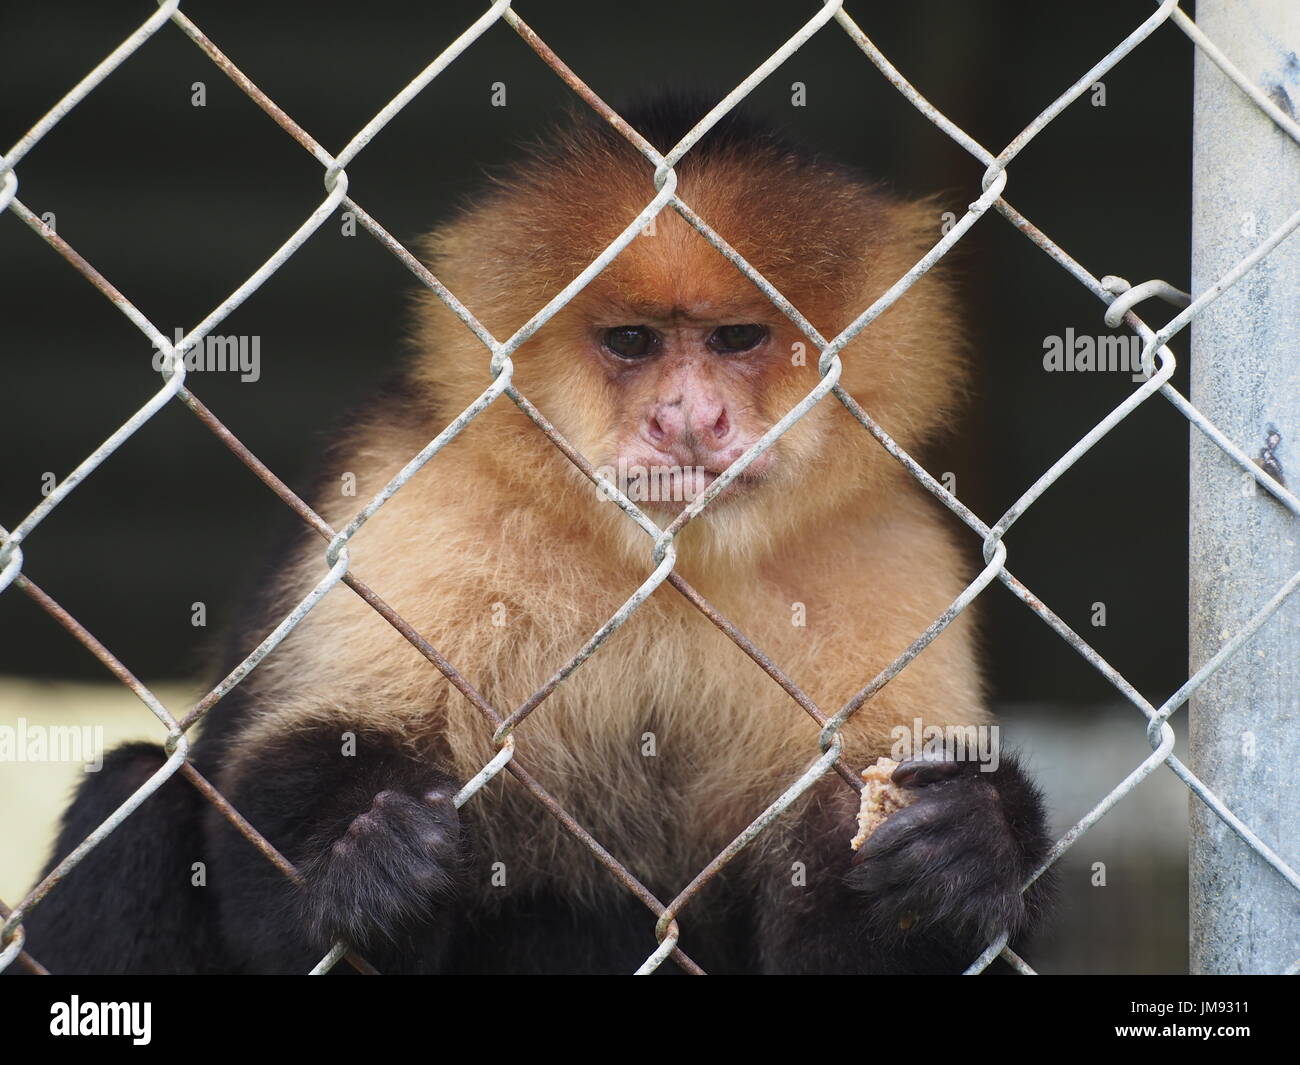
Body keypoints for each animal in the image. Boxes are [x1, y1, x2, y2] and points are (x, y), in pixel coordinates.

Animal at [16, 95, 1054, 975]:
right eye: (633, 342)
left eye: (737, 339)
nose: (689, 420)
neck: (663, 562)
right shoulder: (406, 492)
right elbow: (269, 845)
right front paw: (364, 851)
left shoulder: (895, 547)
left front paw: (966, 846)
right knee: (137, 789)